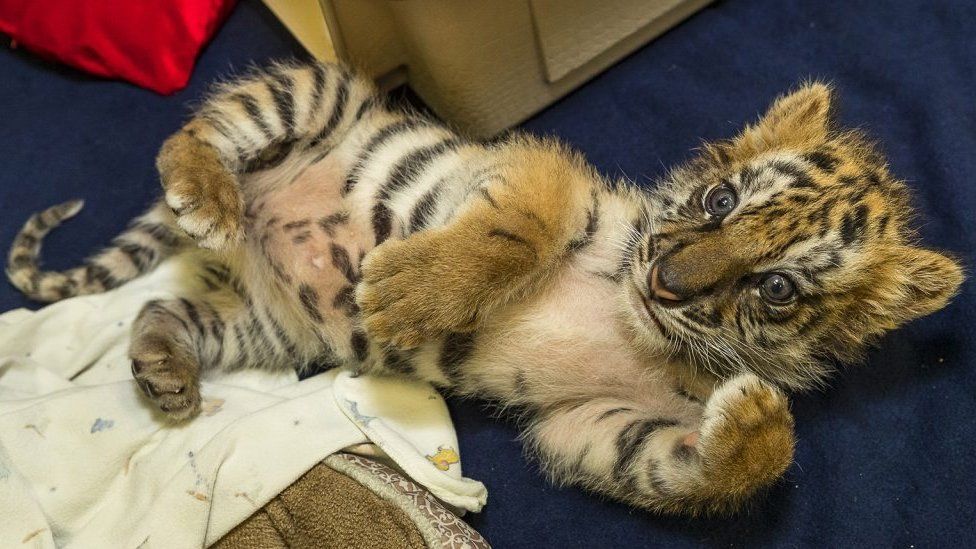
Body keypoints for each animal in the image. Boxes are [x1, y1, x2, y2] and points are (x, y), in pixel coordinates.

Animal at [5, 61, 963, 515]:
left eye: (776, 289)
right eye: (720, 200)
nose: (666, 280)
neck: (641, 324)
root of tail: (247, 228)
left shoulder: (587, 423)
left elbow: (687, 462)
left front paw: (759, 418)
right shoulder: (548, 179)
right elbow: (512, 231)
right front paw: (407, 293)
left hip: (273, 330)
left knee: (159, 304)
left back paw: (166, 372)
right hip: (306, 96)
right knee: (186, 134)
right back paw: (203, 192)